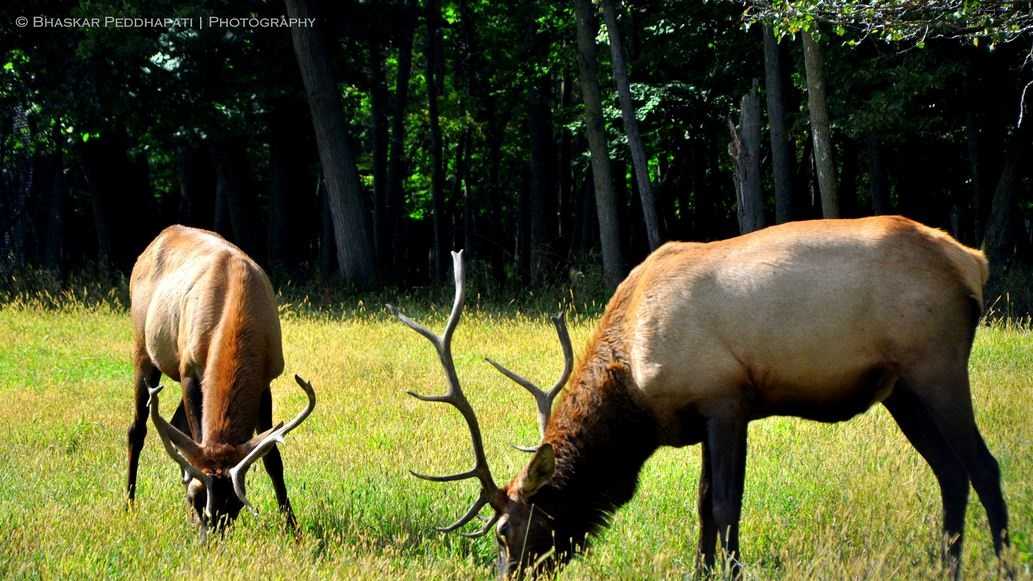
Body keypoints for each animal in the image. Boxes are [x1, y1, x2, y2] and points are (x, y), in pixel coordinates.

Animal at [125, 225, 316, 534]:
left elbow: (272, 457)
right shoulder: (189, 369)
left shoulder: (266, 379)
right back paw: (128, 503)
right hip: (144, 350)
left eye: (236, 503)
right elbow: (197, 436)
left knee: (174, 424)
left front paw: (292, 525)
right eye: (196, 497)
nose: (211, 533)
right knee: (137, 429)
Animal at [390, 216, 1009, 579]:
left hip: (936, 365)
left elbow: (725, 505)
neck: (634, 386)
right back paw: (947, 568)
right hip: (900, 389)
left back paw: (1002, 565)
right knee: (950, 472)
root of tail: (973, 262)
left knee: (984, 466)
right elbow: (704, 506)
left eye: (504, 531)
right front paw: (701, 570)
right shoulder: (711, 413)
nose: (505, 577)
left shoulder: (726, 398)